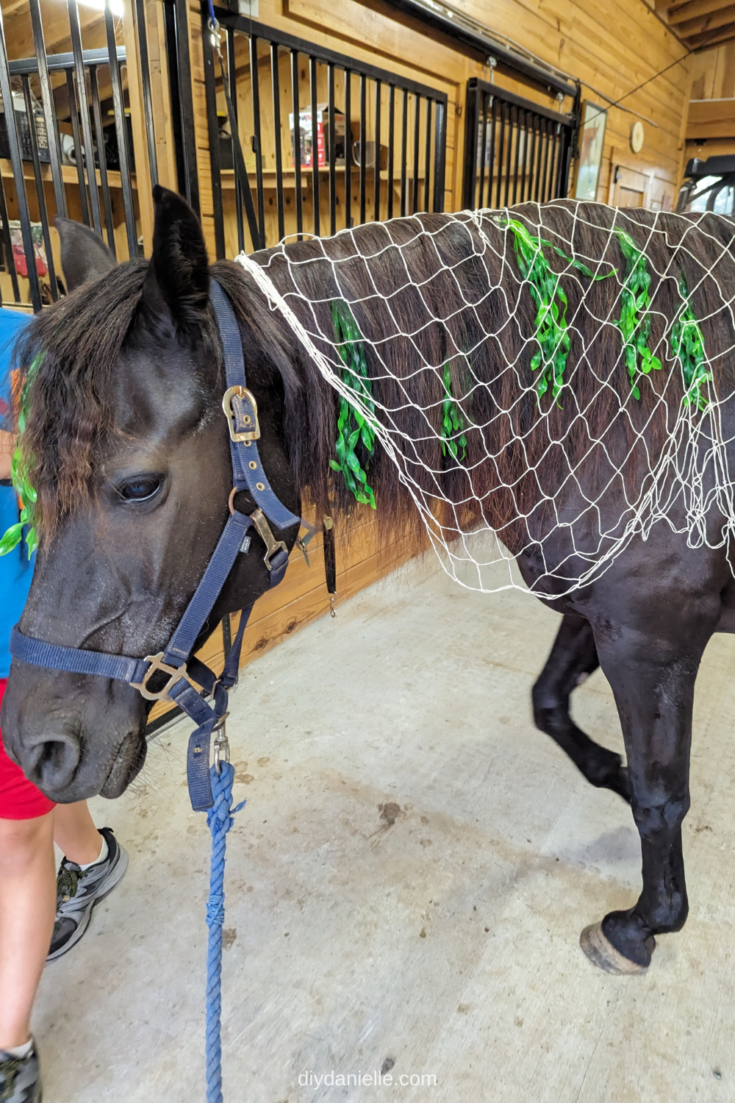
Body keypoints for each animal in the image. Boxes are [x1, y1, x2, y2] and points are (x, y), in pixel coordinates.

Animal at [3, 185, 735, 978]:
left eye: (138, 487)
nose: (35, 748)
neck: (627, 400)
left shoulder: (651, 635)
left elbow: (662, 797)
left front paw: (645, 922)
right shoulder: (593, 609)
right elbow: (550, 707)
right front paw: (613, 773)